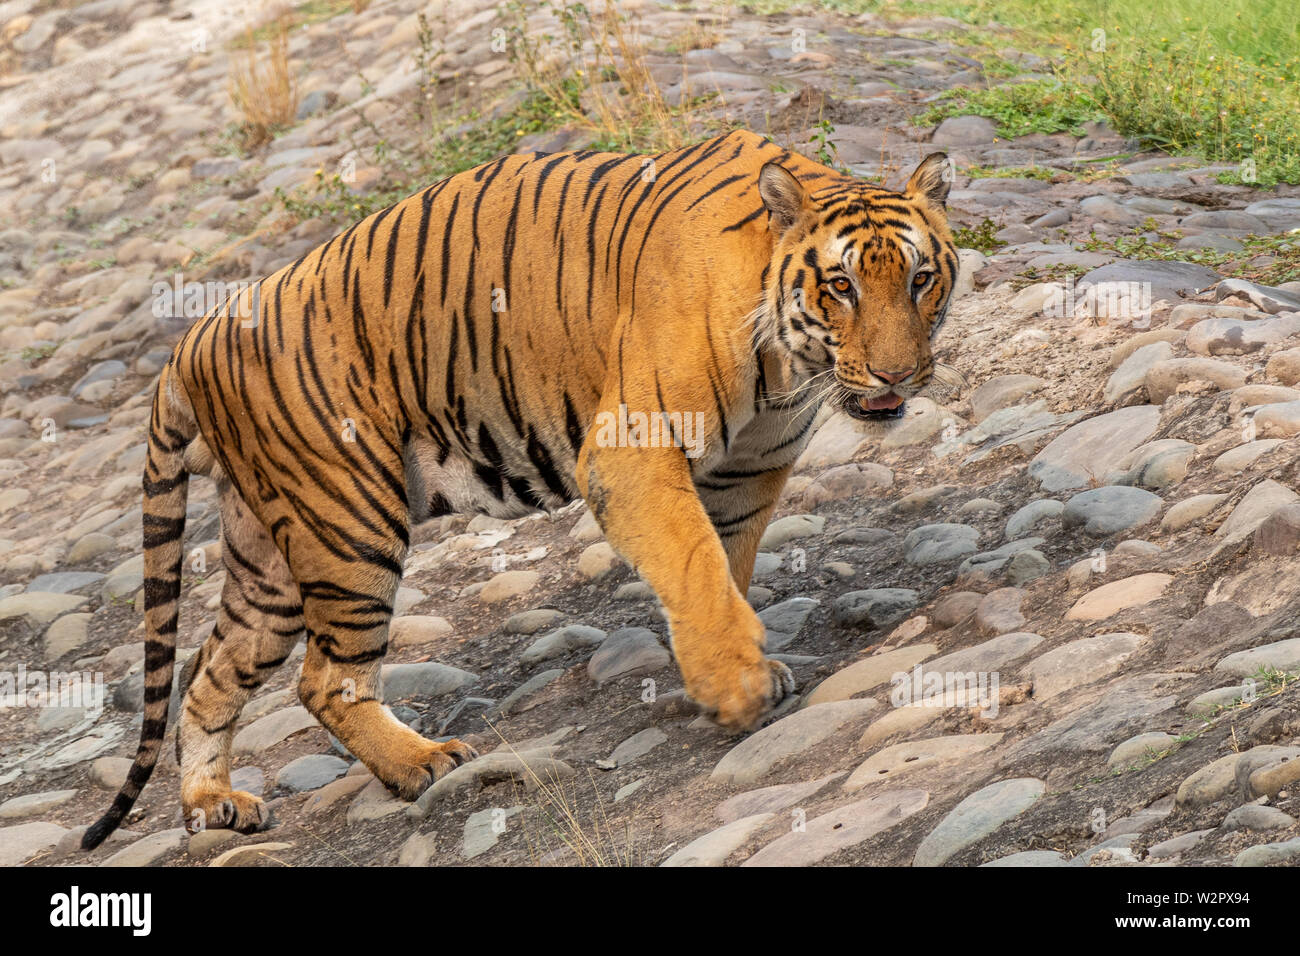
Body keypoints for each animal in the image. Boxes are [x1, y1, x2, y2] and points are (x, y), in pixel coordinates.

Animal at [82, 128, 958, 849]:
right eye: (841, 287)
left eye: (920, 279)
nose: (897, 374)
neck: (789, 364)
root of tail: (190, 339)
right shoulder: (630, 450)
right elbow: (696, 566)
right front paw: (736, 689)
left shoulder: (745, 471)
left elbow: (721, 566)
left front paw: (725, 668)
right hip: (349, 524)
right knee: (324, 679)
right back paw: (423, 764)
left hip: (271, 565)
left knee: (208, 672)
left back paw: (214, 805)